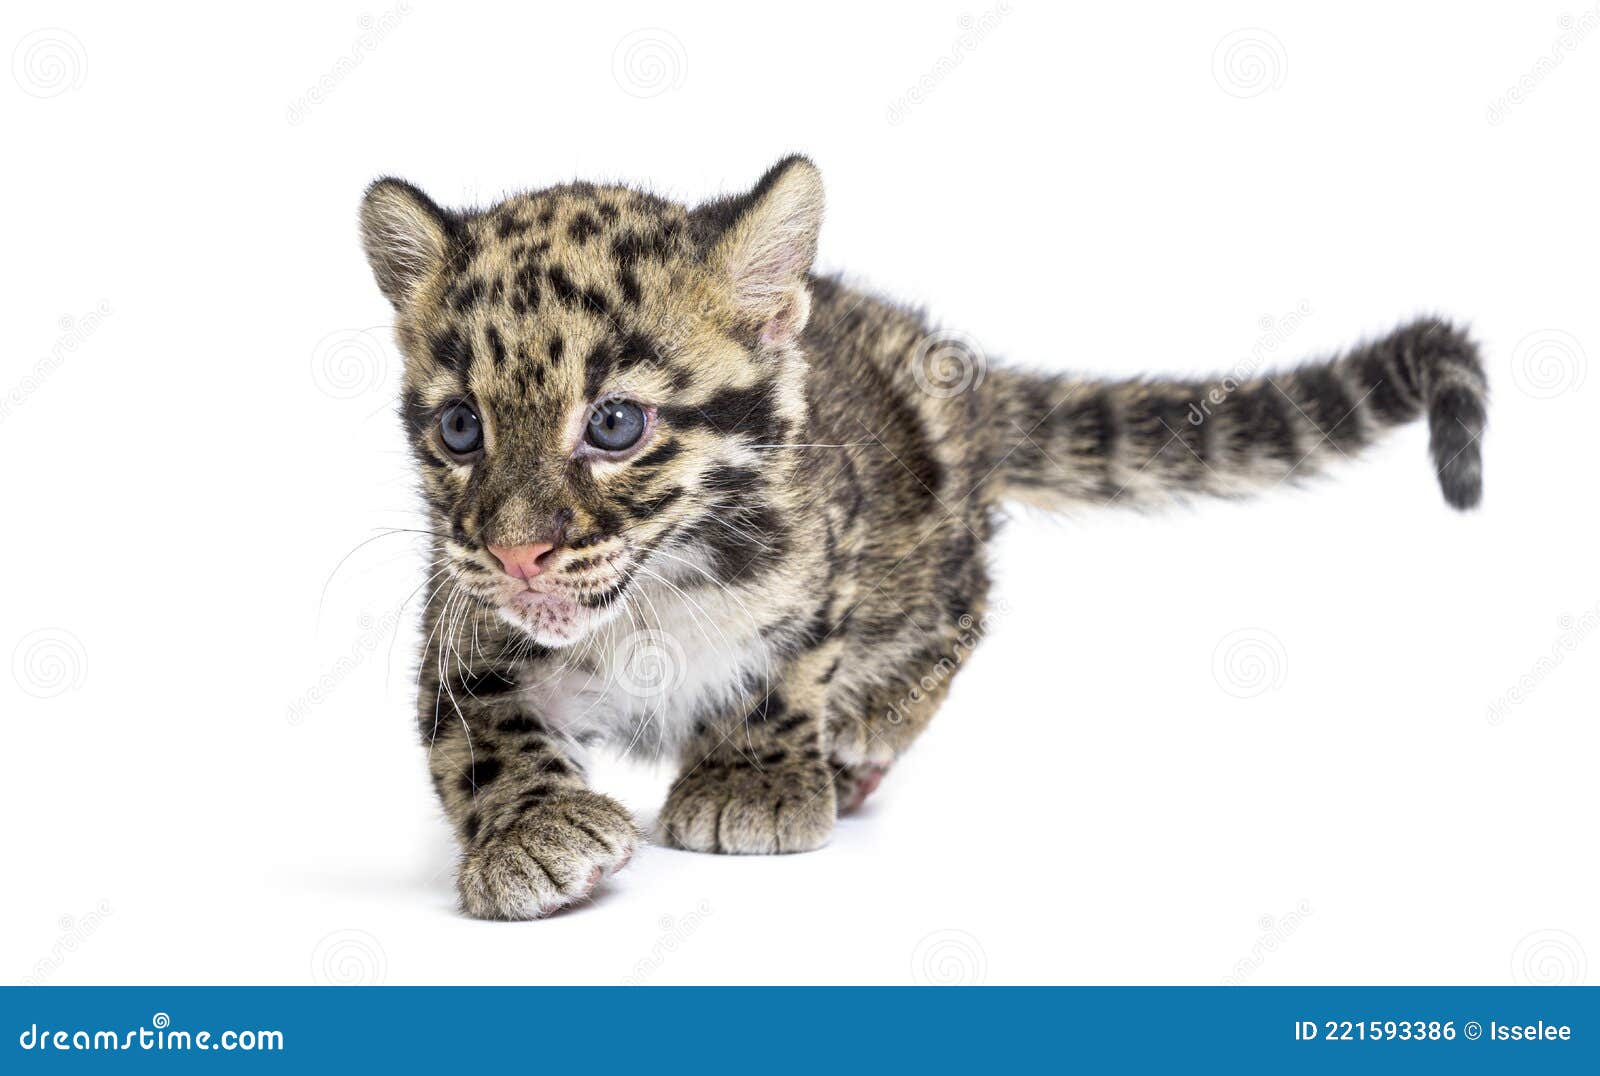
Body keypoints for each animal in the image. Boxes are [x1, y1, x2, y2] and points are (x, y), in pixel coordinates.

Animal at [358, 156, 1486, 919]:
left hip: (935, 552)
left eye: (615, 424)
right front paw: (531, 833)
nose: (517, 552)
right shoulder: (460, 621)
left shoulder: (827, 563)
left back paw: (859, 738)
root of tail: (962, 369)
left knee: (959, 617)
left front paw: (752, 779)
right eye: (460, 428)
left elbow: (787, 671)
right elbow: (483, 735)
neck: (654, 594)